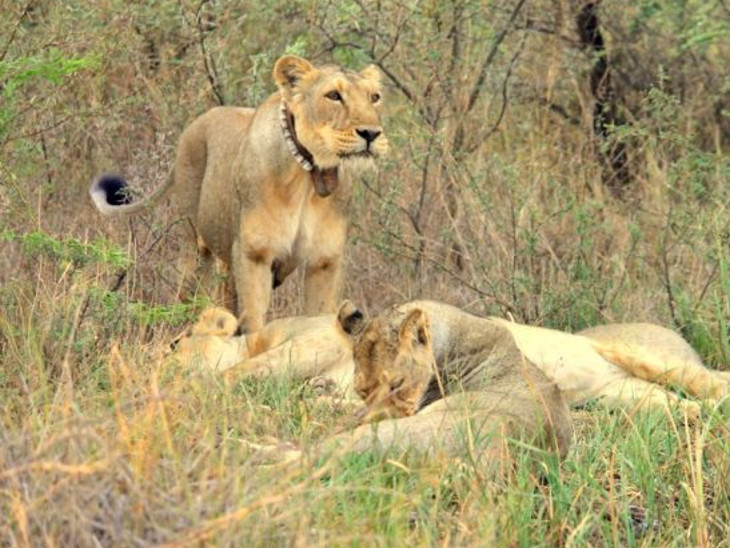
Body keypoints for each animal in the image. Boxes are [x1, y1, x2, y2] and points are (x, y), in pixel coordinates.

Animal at [90, 55, 387, 333]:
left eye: (375, 97)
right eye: (334, 95)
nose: (371, 134)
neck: (308, 177)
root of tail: (195, 124)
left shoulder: (324, 262)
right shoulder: (254, 255)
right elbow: (254, 323)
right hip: (194, 248)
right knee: (190, 299)